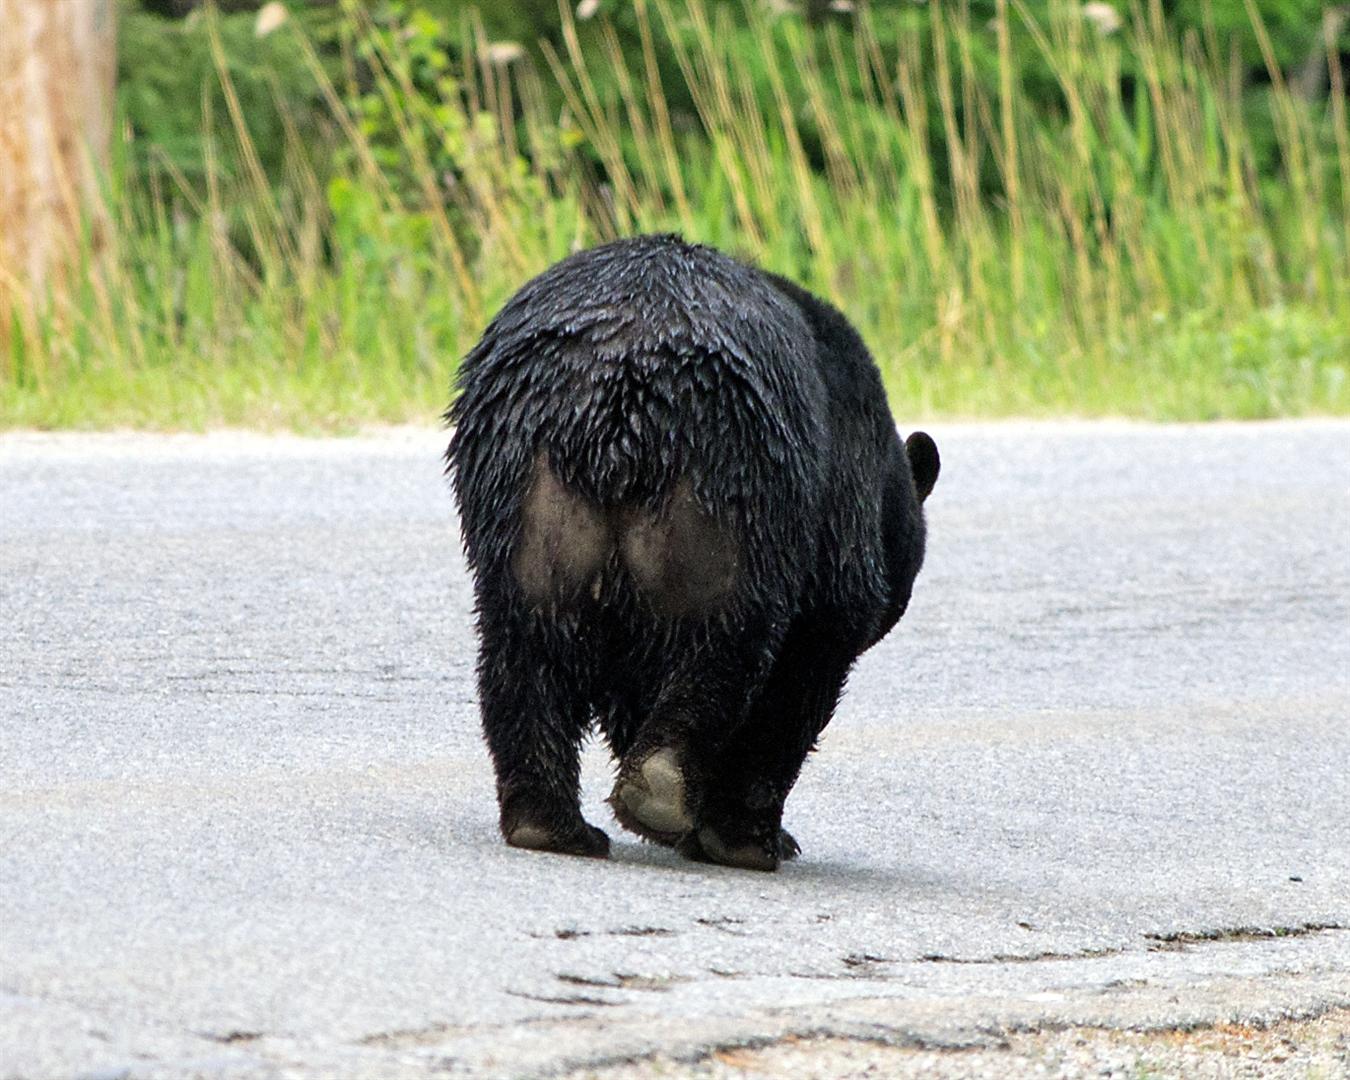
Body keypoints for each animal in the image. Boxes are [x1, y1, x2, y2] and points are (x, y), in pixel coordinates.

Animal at [446, 234, 938, 871]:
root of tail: (615, 401)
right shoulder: (836, 531)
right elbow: (803, 675)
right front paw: (751, 836)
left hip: (525, 496)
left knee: (524, 642)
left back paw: (551, 825)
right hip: (730, 497)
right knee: (726, 637)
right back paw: (658, 794)